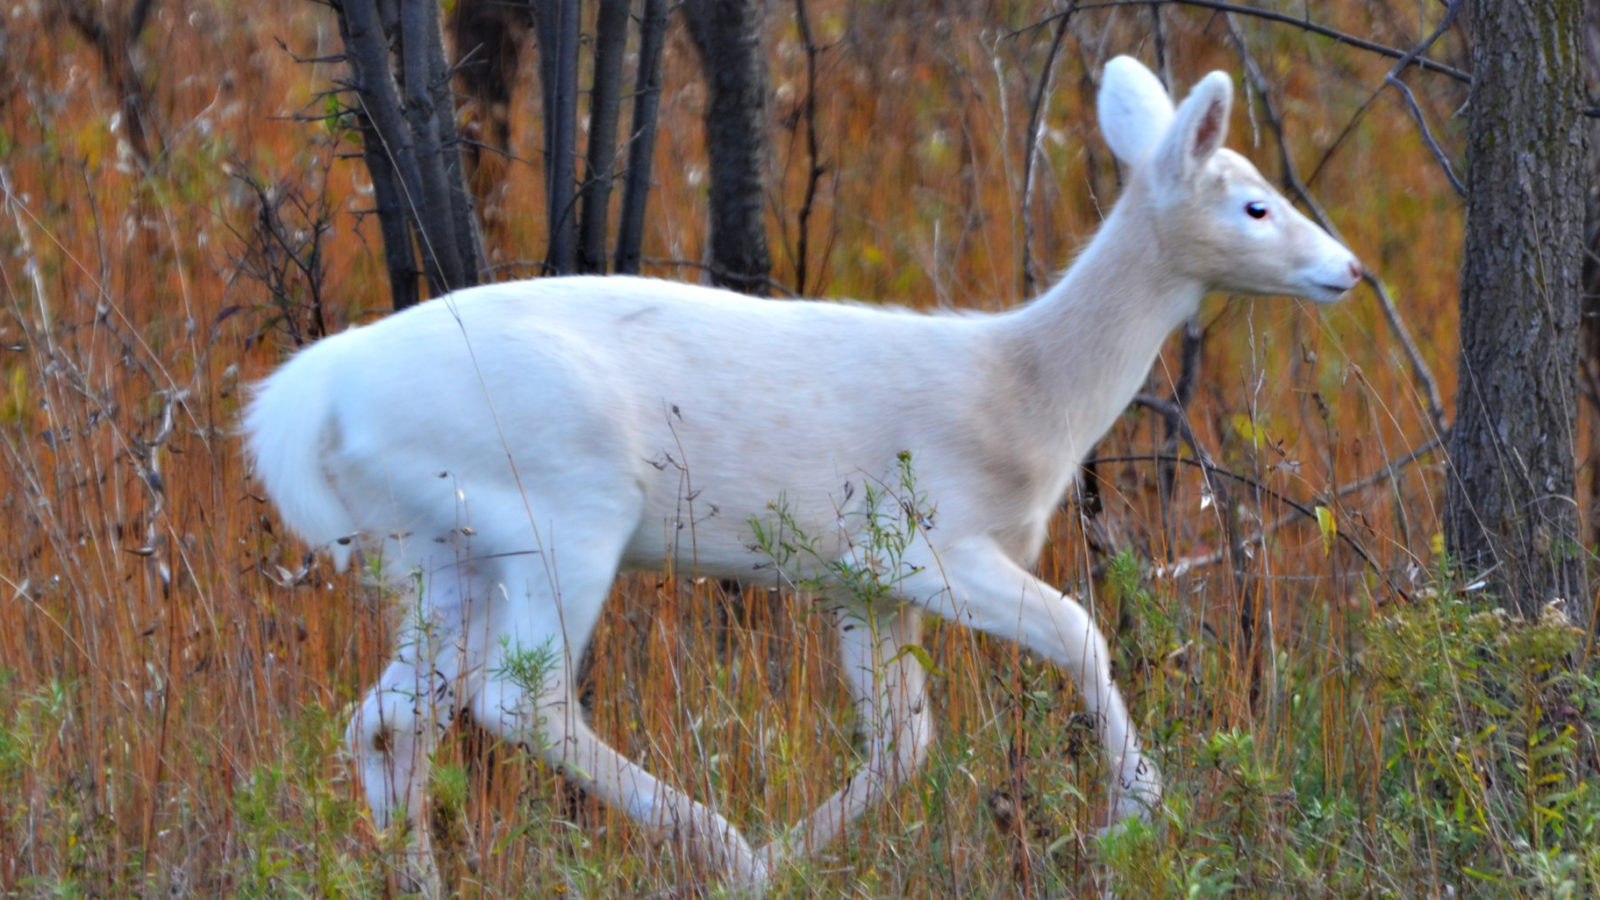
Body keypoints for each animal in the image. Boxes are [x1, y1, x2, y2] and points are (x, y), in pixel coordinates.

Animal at [243, 56, 1361, 894]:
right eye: (1256, 207)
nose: (1348, 270)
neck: (1025, 395)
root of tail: (306, 401)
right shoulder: (922, 542)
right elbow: (1081, 633)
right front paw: (1137, 813)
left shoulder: (857, 583)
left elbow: (904, 744)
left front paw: (791, 861)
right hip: (561, 511)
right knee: (519, 701)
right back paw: (719, 843)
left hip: (436, 547)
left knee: (388, 722)